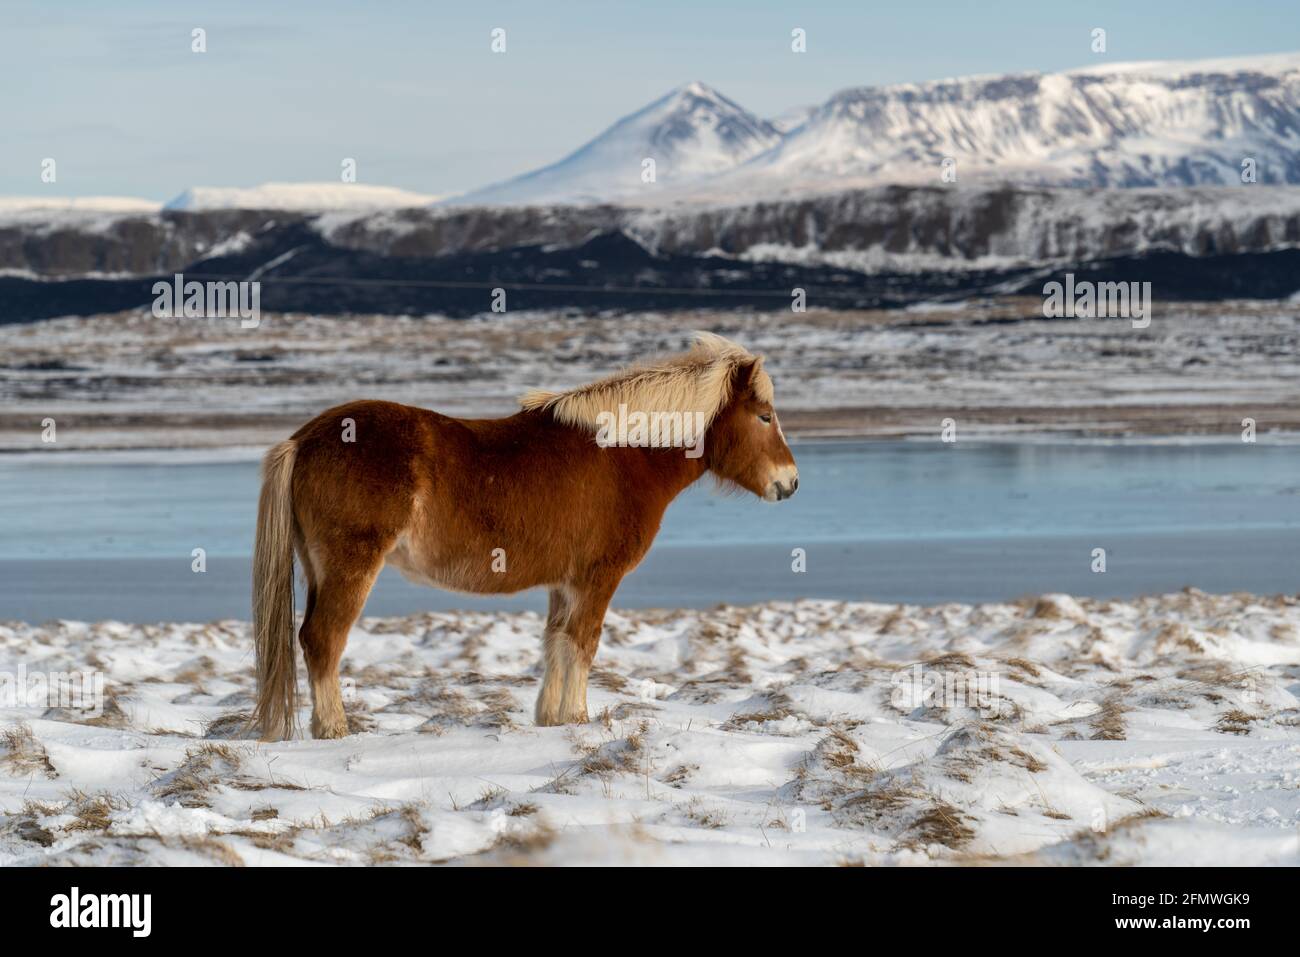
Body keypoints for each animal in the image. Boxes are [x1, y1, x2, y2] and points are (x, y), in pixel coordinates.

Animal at [250, 332, 799, 740]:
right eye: (765, 416)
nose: (790, 483)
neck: (620, 454)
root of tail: (303, 440)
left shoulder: (565, 583)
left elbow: (556, 642)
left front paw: (552, 719)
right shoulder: (598, 580)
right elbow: (583, 643)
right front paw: (579, 719)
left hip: (318, 570)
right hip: (351, 567)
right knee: (323, 640)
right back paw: (334, 729)